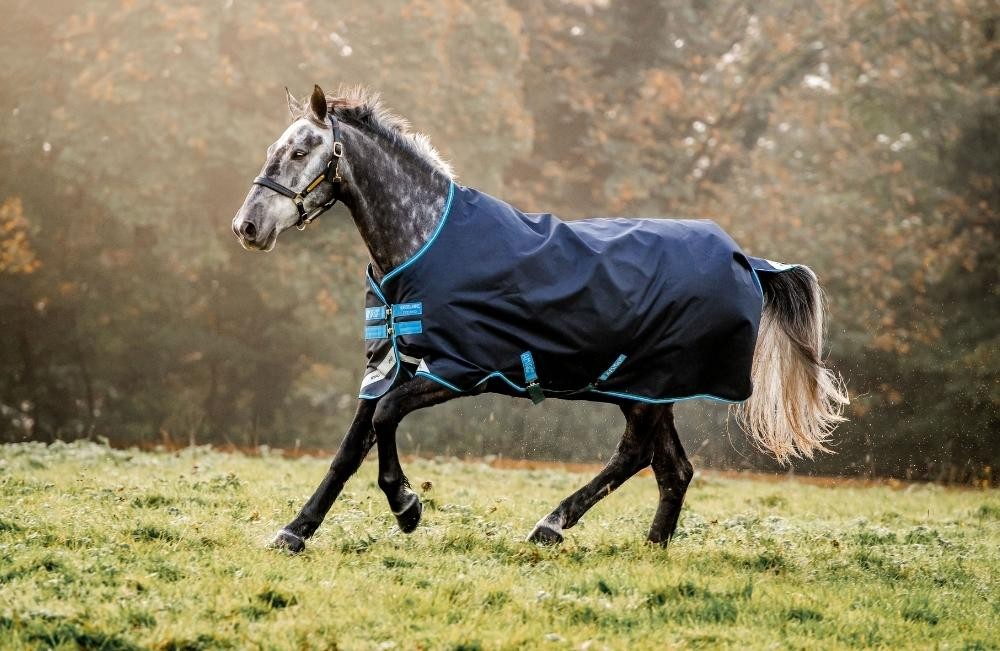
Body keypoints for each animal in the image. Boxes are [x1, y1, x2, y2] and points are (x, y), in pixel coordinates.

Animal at [232, 85, 848, 553]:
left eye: (301, 151)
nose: (248, 227)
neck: (424, 239)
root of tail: (748, 260)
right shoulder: (391, 364)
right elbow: (349, 449)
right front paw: (294, 532)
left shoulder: (458, 371)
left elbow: (384, 421)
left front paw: (408, 507)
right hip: (647, 389)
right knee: (672, 469)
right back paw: (649, 547)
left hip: (647, 386)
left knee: (637, 457)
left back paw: (551, 525)